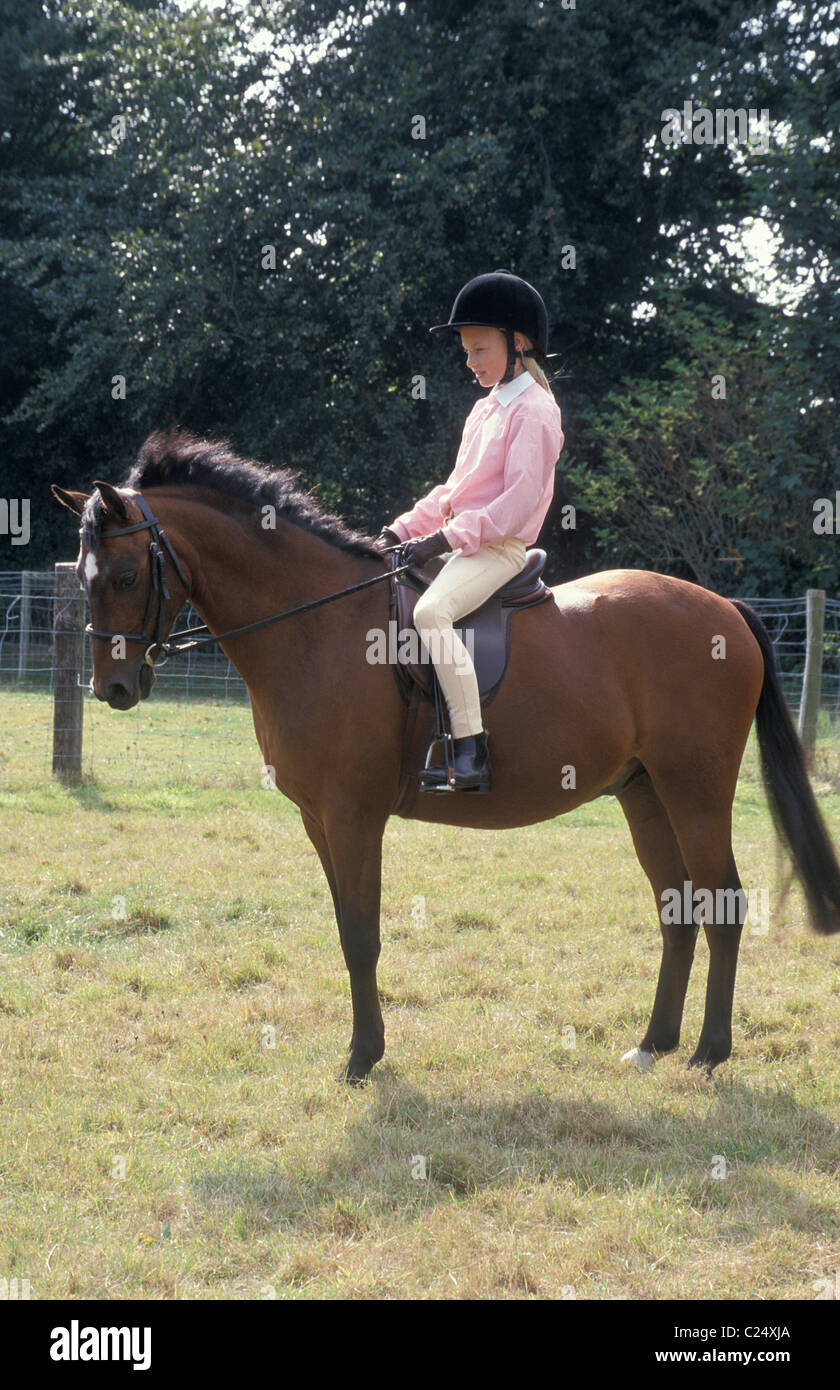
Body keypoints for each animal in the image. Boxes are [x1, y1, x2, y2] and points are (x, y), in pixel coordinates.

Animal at [52, 429, 840, 1084]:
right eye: (84, 576)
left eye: (124, 576)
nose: (113, 688)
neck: (316, 625)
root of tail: (726, 609)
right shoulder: (318, 820)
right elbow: (345, 928)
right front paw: (364, 1052)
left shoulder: (353, 816)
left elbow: (362, 936)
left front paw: (362, 1060)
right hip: (643, 793)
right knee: (677, 908)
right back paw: (653, 1045)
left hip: (694, 791)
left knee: (723, 905)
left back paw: (709, 1054)